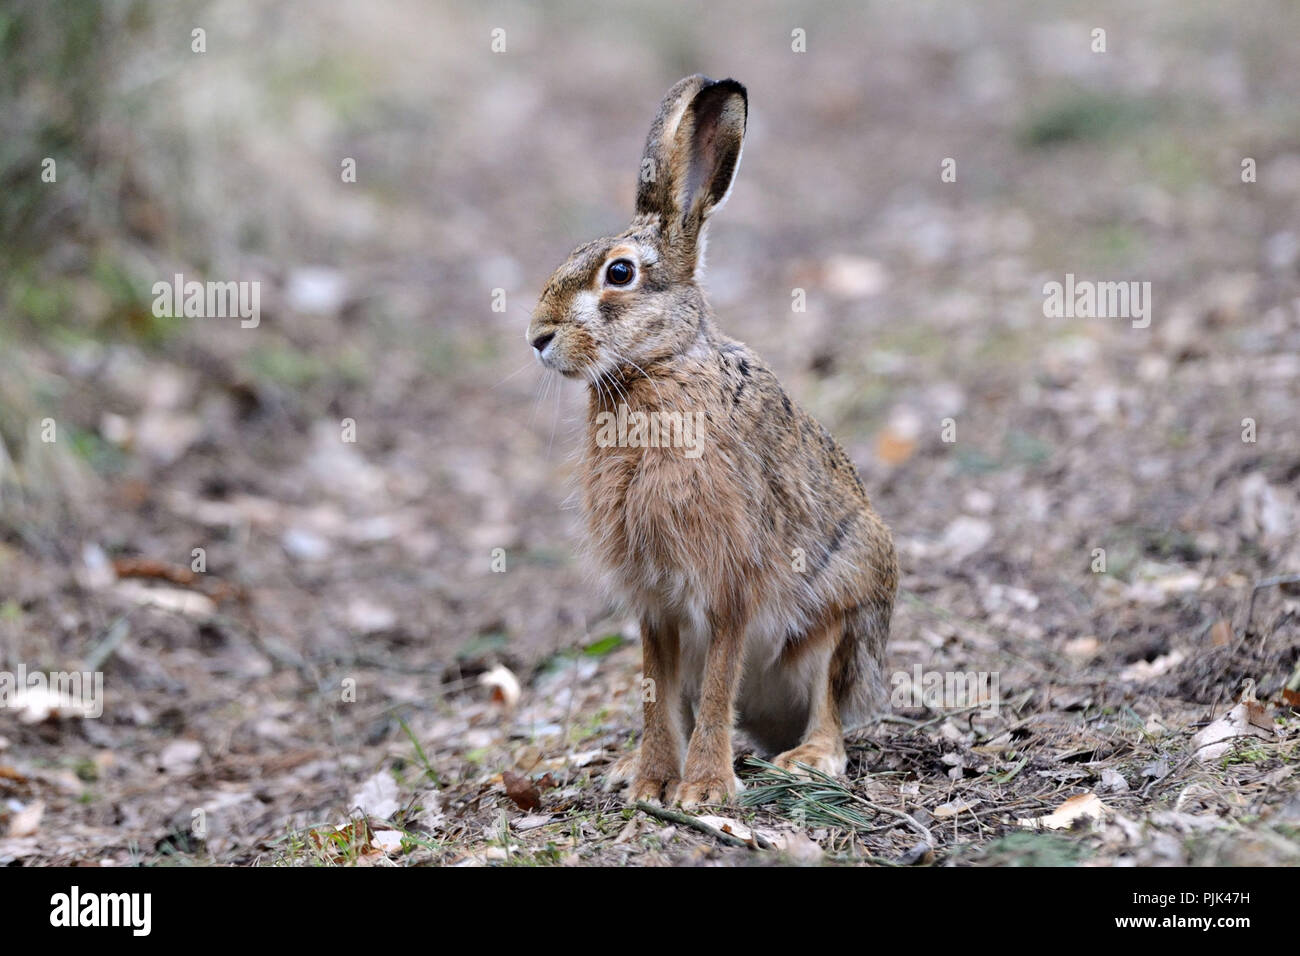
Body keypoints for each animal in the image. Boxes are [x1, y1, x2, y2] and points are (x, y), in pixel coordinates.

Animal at [526, 75, 898, 807]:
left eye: (619, 274)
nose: (538, 336)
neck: (656, 372)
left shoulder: (731, 579)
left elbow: (723, 673)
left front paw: (701, 792)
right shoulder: (654, 599)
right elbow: (655, 689)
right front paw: (649, 784)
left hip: (848, 605)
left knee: (830, 701)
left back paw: (806, 758)